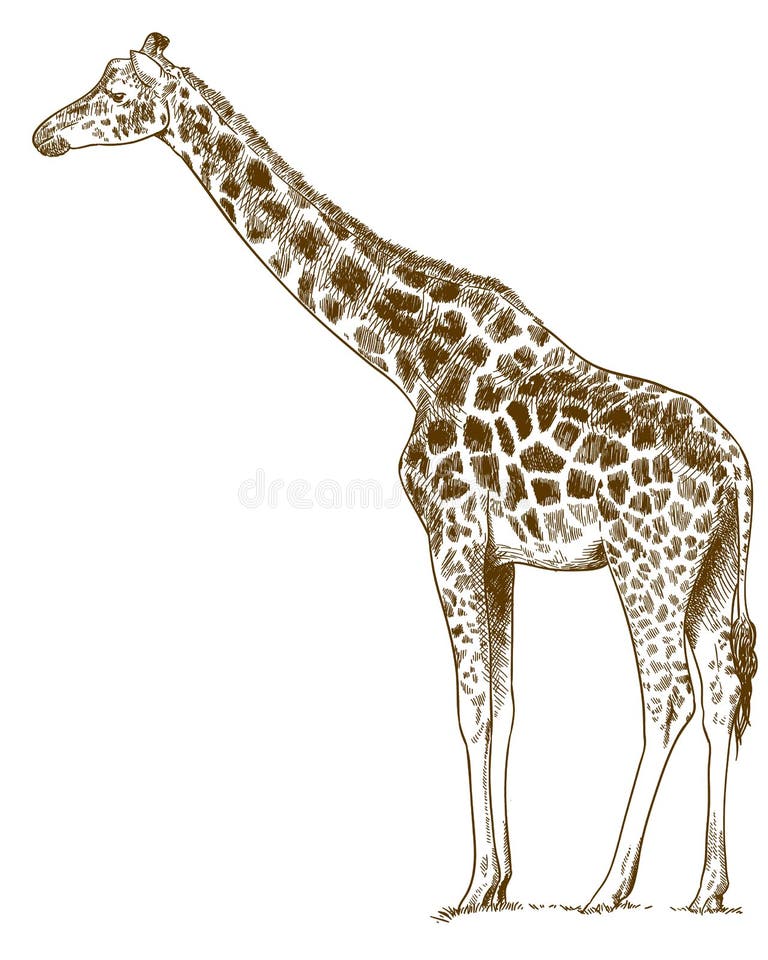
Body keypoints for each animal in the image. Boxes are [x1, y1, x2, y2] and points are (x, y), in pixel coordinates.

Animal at [33, 33, 757, 913]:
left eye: (115, 90)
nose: (43, 134)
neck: (408, 354)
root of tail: (737, 472)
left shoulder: (449, 534)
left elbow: (470, 709)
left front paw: (473, 887)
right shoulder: (497, 555)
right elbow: (504, 707)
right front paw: (500, 882)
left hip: (646, 565)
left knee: (669, 695)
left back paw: (610, 887)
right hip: (713, 572)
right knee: (721, 695)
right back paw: (709, 888)